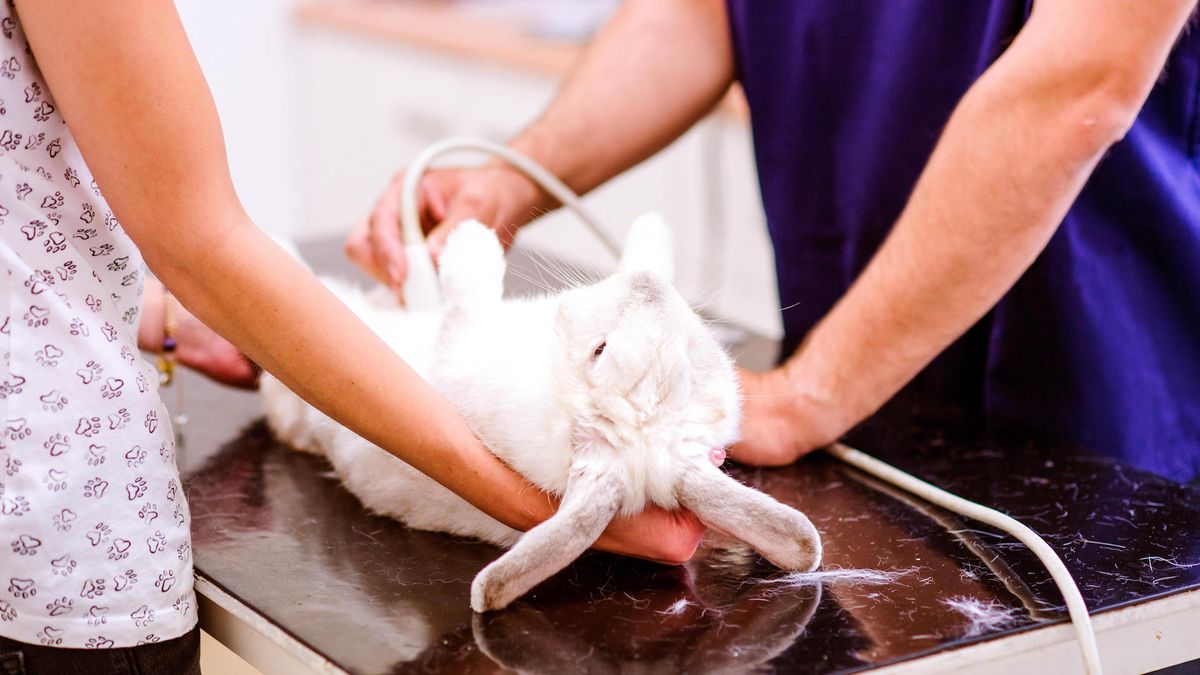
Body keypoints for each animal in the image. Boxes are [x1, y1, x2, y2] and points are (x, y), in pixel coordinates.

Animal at [259, 214, 822, 612]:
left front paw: (469, 240)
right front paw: (652, 231)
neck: (554, 379)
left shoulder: (460, 343)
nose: (646, 284)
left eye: (600, 350)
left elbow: (464, 297)